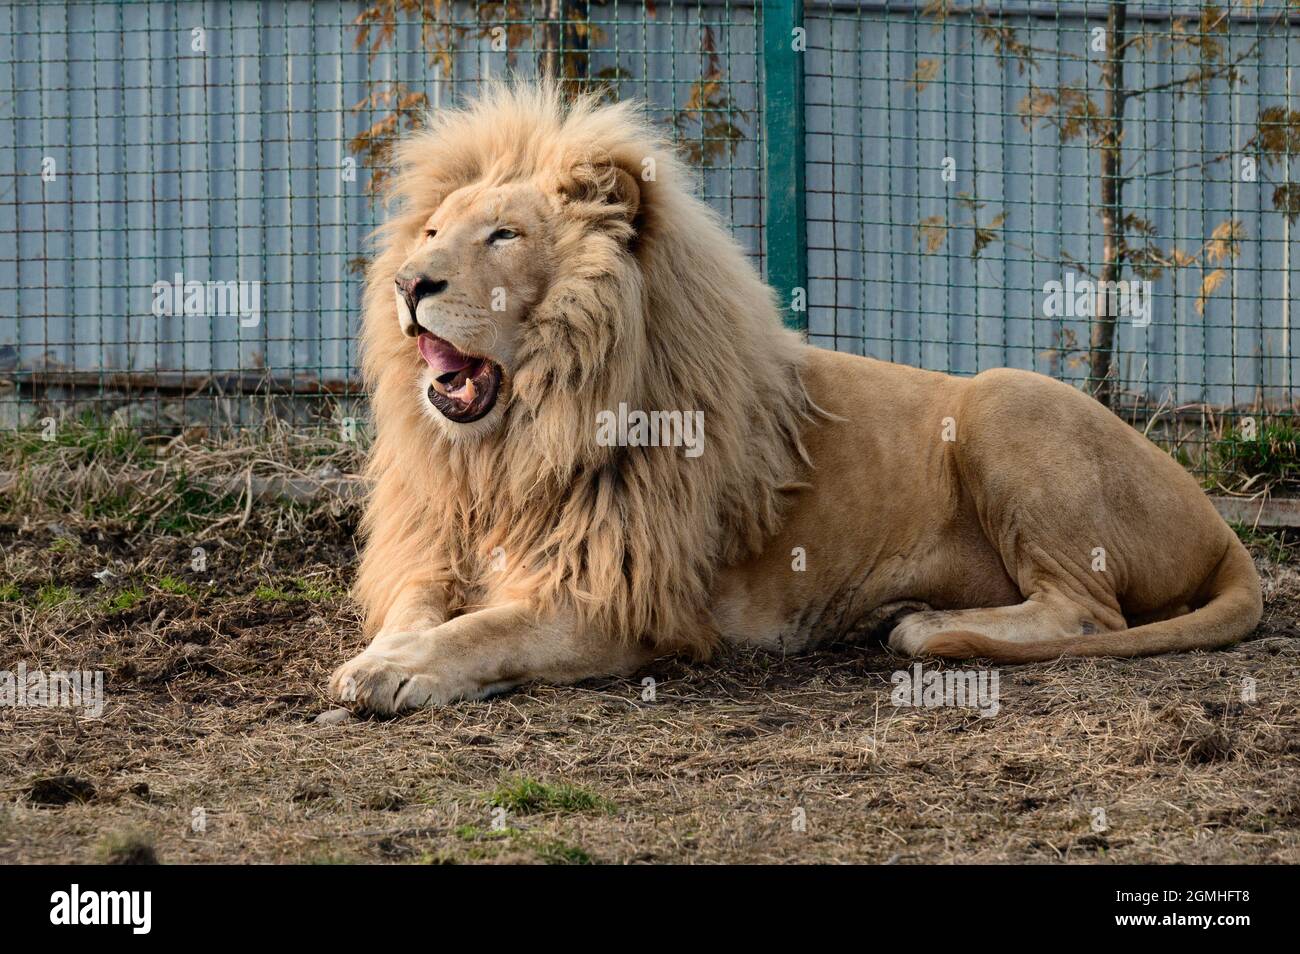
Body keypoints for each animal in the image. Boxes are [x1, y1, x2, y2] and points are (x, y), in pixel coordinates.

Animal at [329, 83, 1262, 713]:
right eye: (432, 230)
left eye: (504, 235)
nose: (409, 283)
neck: (511, 451)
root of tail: (1221, 528)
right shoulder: (434, 551)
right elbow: (415, 612)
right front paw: (389, 652)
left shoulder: (628, 606)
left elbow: (484, 631)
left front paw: (393, 671)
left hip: (1005, 401)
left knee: (1088, 616)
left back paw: (925, 628)